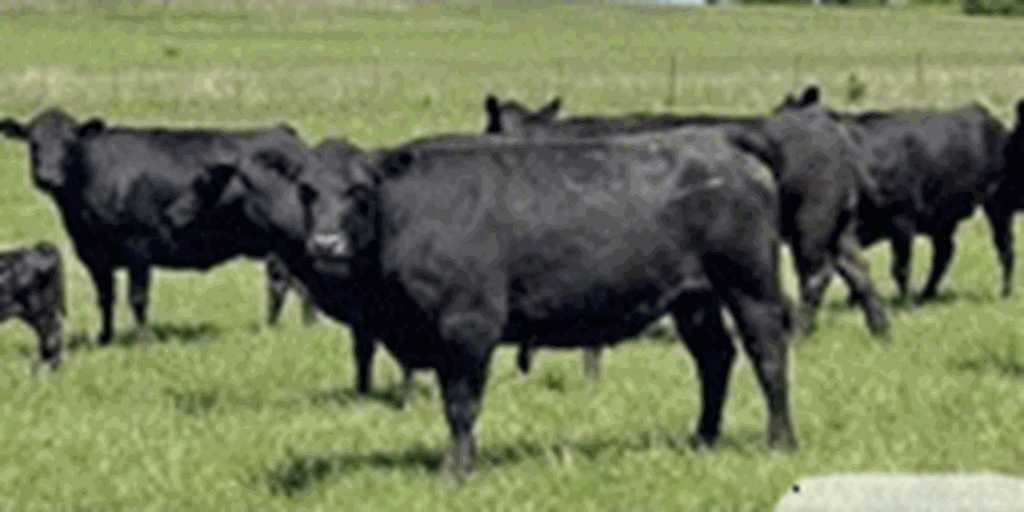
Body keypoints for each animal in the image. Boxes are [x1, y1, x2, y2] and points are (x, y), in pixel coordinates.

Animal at [0, 107, 317, 346]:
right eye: (33, 143)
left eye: (69, 144)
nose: (47, 176)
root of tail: (282, 132)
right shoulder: (94, 254)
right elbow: (105, 297)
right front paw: (104, 337)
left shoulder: (138, 248)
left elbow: (137, 297)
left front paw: (142, 338)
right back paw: (306, 324)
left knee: (281, 283)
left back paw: (275, 327)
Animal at [231, 127, 799, 480]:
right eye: (307, 191)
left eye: (359, 190)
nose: (326, 244)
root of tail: (718, 139)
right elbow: (454, 403)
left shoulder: (468, 324)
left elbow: (461, 404)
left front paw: (455, 470)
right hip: (693, 298)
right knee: (715, 358)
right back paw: (703, 437)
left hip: (750, 285)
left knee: (767, 355)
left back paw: (781, 441)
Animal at [484, 93, 889, 379]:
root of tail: (824, 123)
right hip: (838, 226)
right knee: (857, 269)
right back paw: (880, 329)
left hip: (811, 223)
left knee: (816, 276)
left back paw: (803, 332)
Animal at [774, 86, 1010, 304]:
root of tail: (982, 112)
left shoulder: (902, 221)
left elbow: (899, 268)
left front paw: (904, 302)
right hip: (943, 219)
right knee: (944, 252)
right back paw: (927, 292)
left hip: (997, 203)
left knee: (1003, 245)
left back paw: (1005, 291)